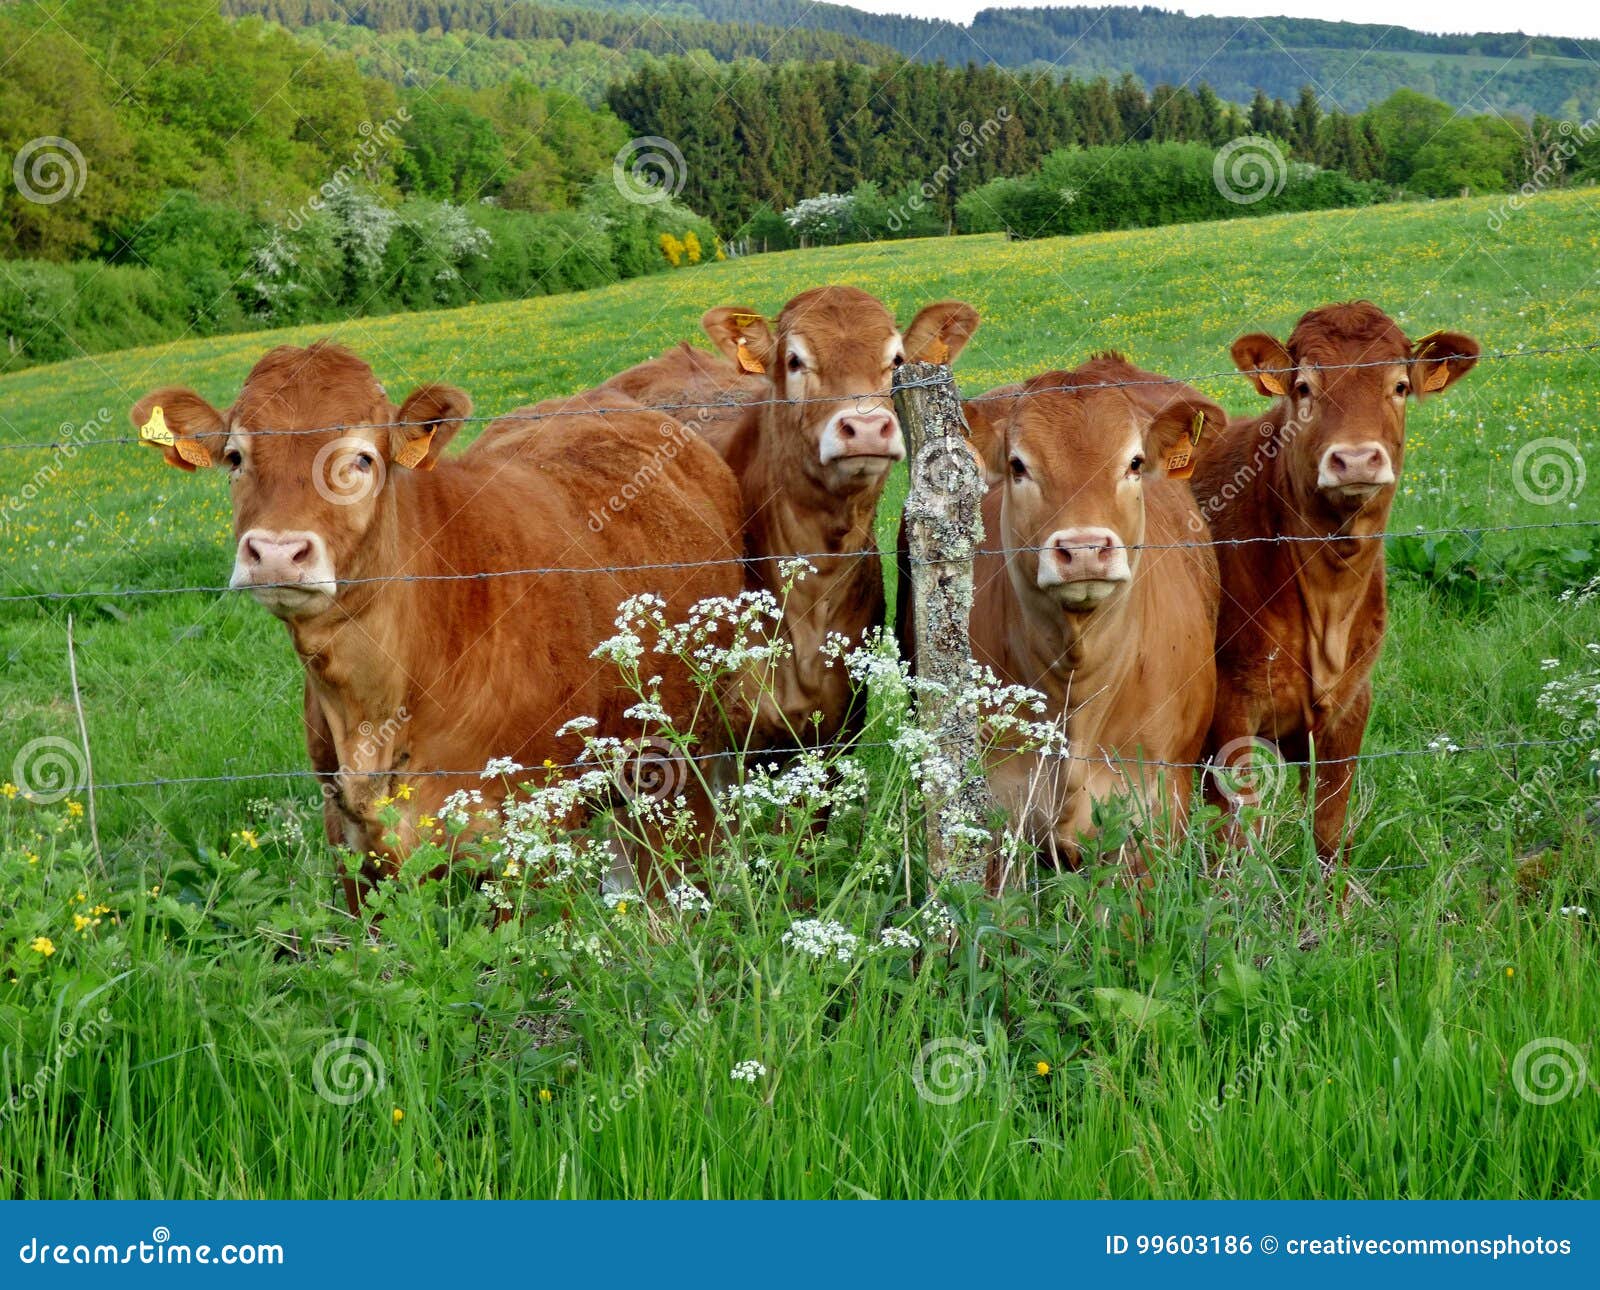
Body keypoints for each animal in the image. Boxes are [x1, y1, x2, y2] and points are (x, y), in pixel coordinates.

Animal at [1190, 301, 1479, 866]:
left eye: (1399, 386)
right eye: (1304, 388)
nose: (1357, 459)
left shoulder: (1351, 704)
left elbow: (1328, 828)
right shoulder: (1228, 711)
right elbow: (1238, 836)